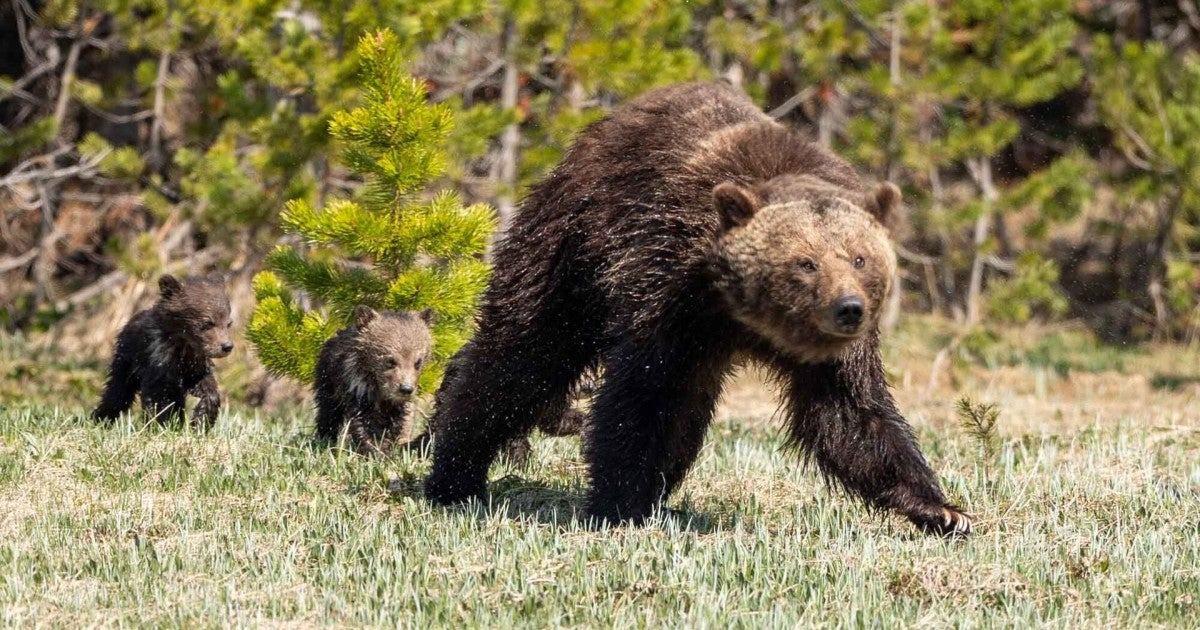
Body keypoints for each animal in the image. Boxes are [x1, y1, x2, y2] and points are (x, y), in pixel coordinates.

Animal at [92, 273, 233, 428]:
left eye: (228, 323)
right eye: (207, 323)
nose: (227, 346)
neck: (185, 346)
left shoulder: (194, 365)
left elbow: (207, 386)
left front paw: (201, 419)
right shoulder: (159, 360)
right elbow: (157, 396)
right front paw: (160, 425)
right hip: (125, 361)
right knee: (118, 393)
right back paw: (100, 419)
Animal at [313, 305, 433, 456]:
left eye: (418, 362)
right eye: (390, 361)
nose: (405, 389)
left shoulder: (396, 404)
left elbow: (398, 421)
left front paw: (393, 446)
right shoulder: (358, 388)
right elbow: (363, 421)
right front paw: (376, 450)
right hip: (327, 380)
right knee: (329, 411)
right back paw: (325, 439)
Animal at [423, 81, 971, 536]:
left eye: (859, 258)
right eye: (806, 262)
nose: (849, 309)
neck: (746, 319)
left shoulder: (829, 357)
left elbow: (851, 412)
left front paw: (941, 509)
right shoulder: (671, 286)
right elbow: (642, 394)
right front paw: (617, 505)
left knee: (687, 416)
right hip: (570, 243)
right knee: (522, 354)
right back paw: (454, 476)